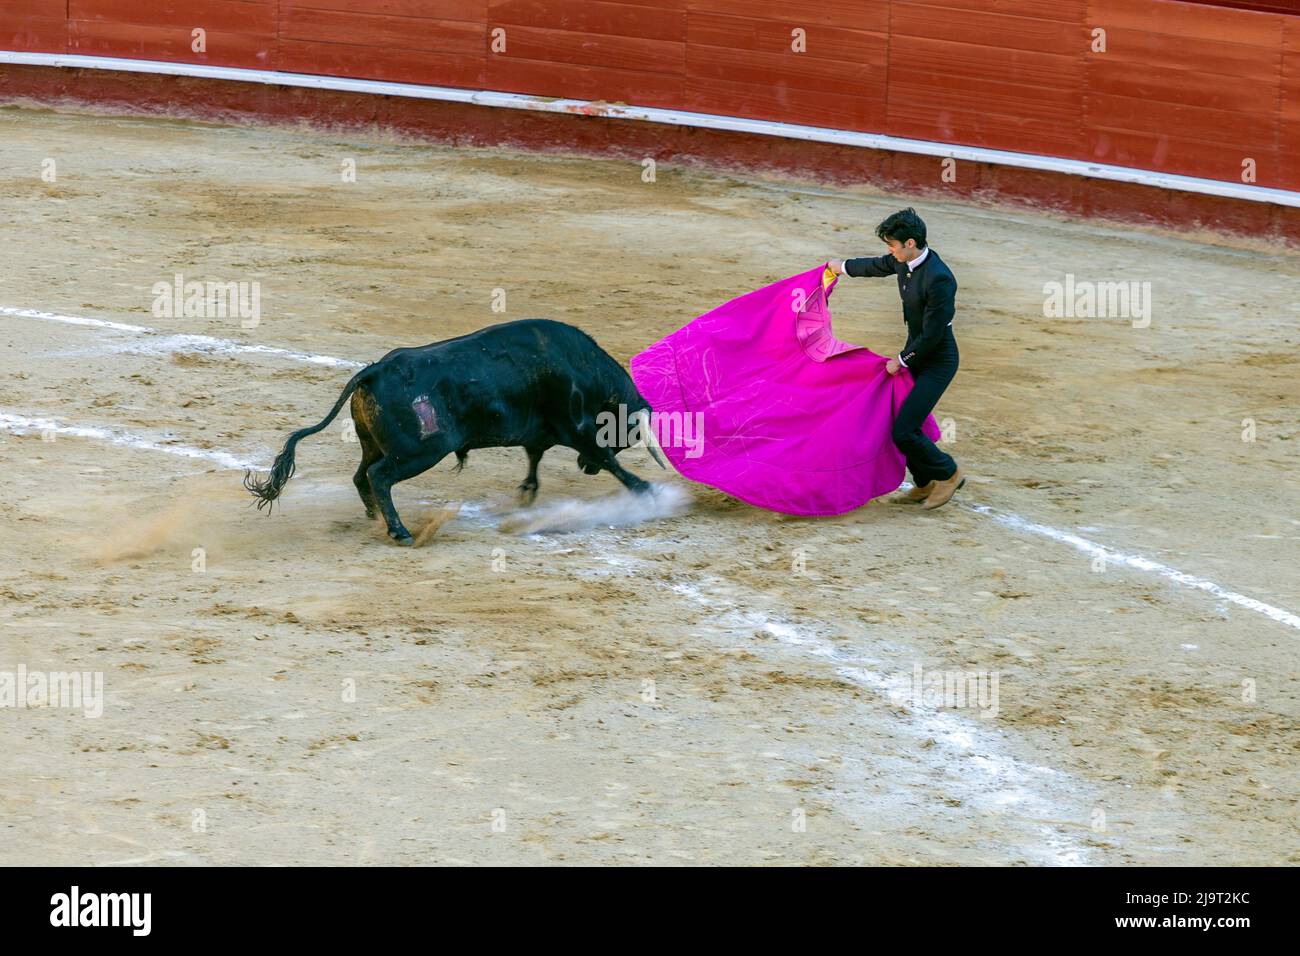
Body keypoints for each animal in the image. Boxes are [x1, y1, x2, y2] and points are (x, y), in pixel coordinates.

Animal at [244, 318, 666, 544]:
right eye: (628, 433)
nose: (583, 469)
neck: (583, 369)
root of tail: (374, 371)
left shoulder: (540, 434)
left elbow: (534, 459)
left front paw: (526, 493)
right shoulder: (576, 429)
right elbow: (610, 461)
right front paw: (647, 490)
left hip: (375, 444)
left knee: (361, 475)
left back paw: (375, 518)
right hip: (419, 452)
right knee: (379, 477)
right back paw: (400, 531)